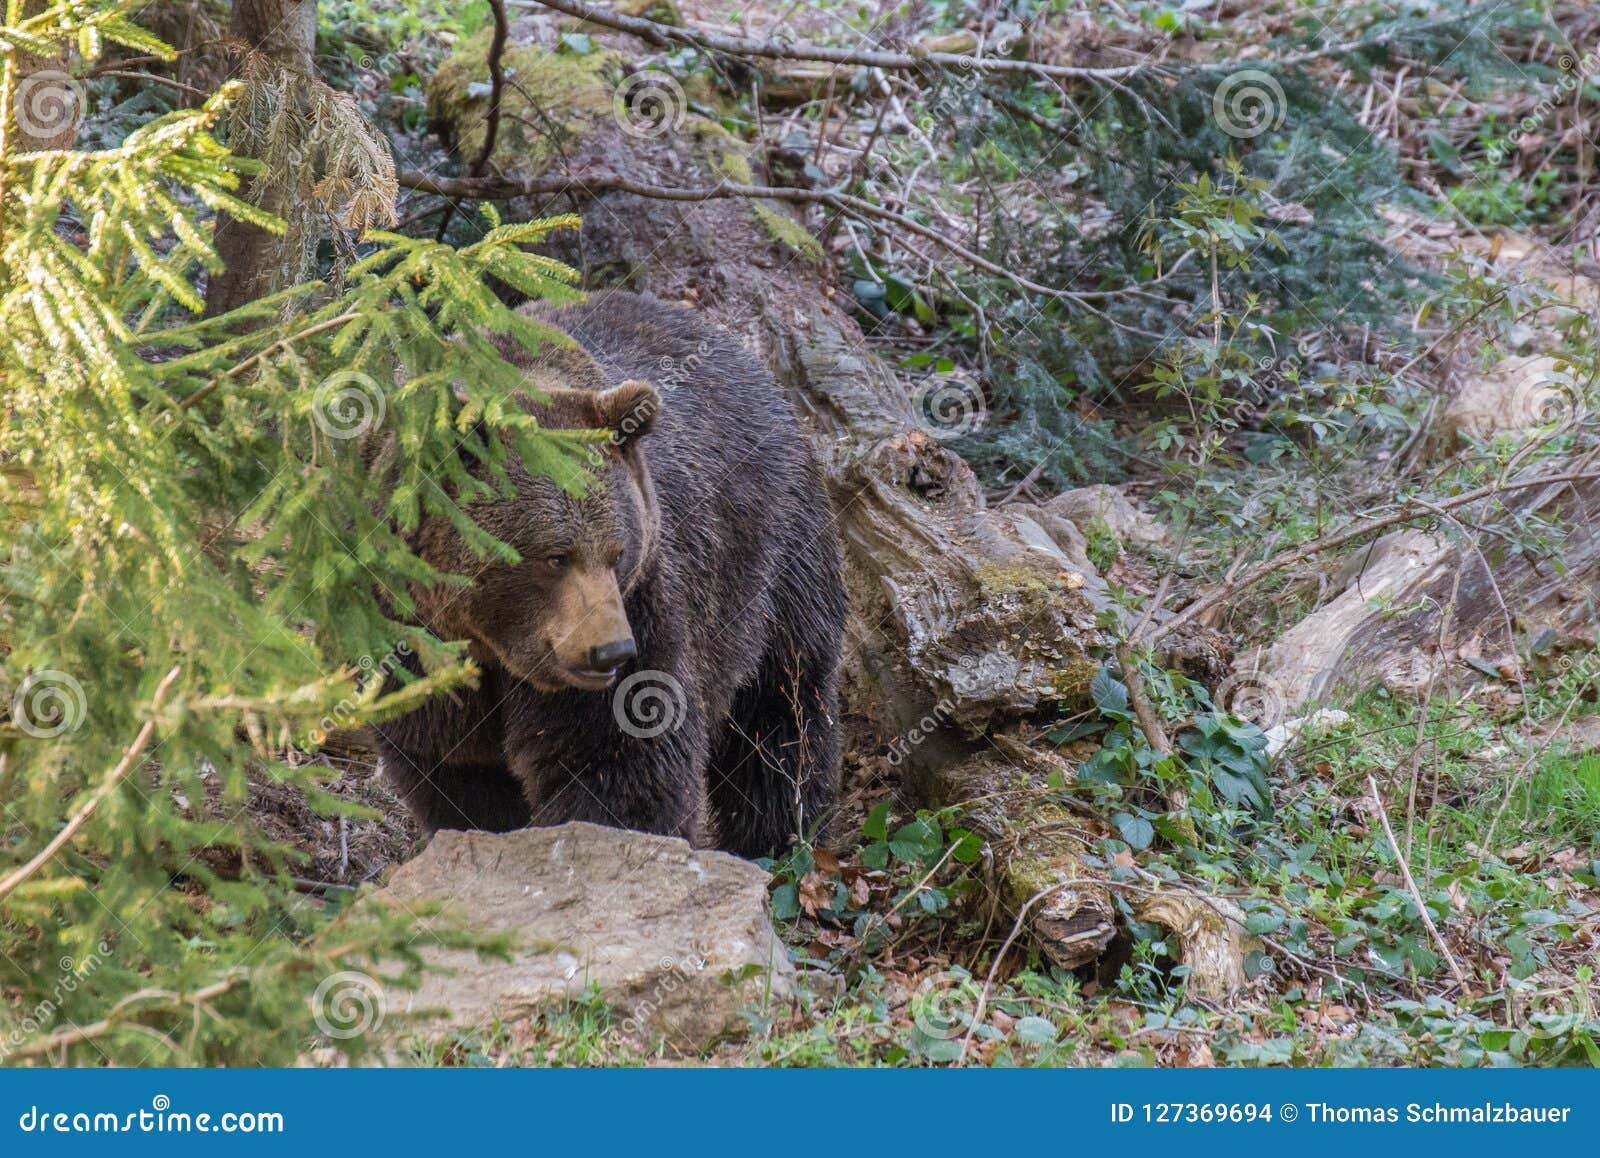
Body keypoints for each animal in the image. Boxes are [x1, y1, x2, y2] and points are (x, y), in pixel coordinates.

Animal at [372, 291, 847, 859]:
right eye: (555, 556)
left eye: (617, 552)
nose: (610, 651)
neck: (494, 646)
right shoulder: (411, 639)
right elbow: (454, 767)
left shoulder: (642, 605)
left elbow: (622, 757)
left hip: (774, 559)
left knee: (782, 710)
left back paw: (777, 839)